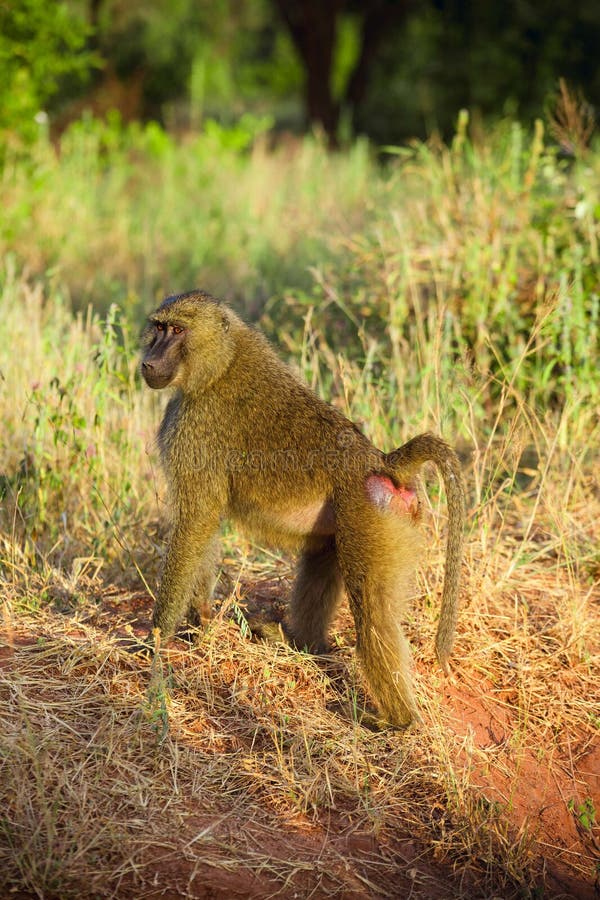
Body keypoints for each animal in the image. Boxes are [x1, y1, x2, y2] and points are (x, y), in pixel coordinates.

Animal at [140, 290, 465, 727]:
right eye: (158, 328)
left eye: (177, 330)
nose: (148, 361)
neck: (221, 362)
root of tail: (382, 462)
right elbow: (205, 529)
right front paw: (200, 620)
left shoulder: (194, 428)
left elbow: (196, 521)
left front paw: (155, 638)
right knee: (324, 561)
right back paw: (300, 643)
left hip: (369, 516)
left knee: (373, 614)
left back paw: (398, 719)